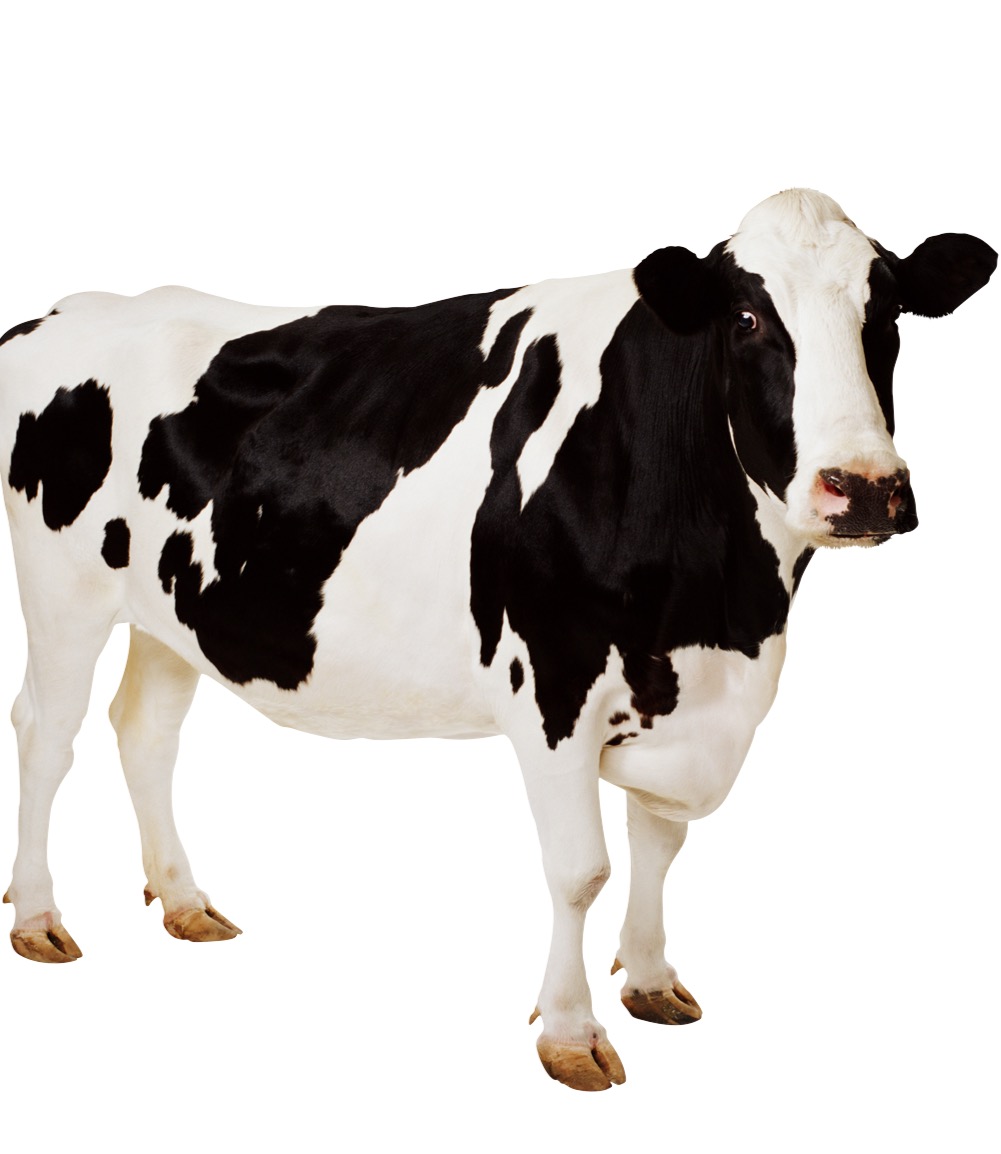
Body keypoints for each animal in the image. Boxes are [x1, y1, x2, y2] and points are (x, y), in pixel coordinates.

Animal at [0, 189, 994, 1091]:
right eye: (747, 317)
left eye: (886, 313)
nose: (863, 487)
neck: (723, 607)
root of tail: (62, 310)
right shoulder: (552, 686)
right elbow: (581, 870)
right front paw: (570, 1034)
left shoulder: (688, 696)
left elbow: (660, 843)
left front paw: (651, 980)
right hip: (63, 593)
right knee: (47, 735)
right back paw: (39, 919)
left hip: (175, 609)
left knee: (145, 732)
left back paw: (183, 900)